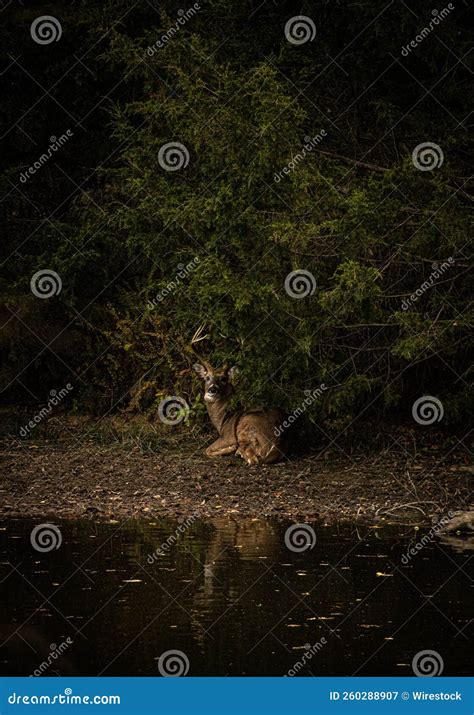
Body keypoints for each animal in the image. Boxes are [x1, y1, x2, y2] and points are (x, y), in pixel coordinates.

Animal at [191, 325, 287, 465]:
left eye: (224, 379)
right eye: (207, 377)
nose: (212, 390)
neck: (222, 419)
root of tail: (276, 444)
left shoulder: (227, 436)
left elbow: (207, 450)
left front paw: (230, 449)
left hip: (245, 426)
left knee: (252, 458)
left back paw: (237, 451)